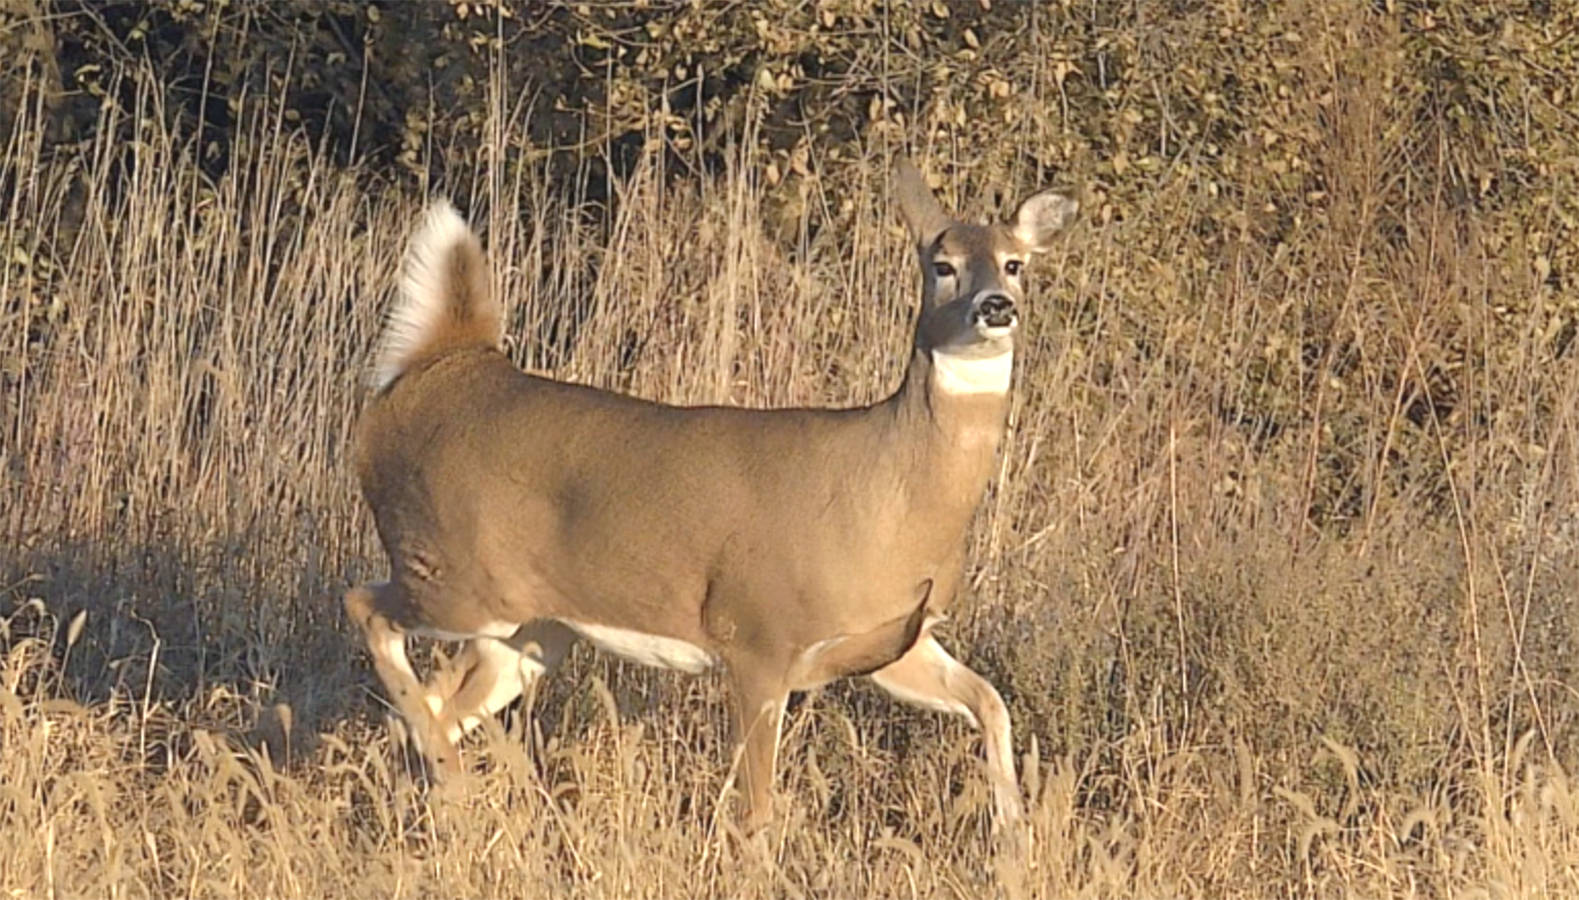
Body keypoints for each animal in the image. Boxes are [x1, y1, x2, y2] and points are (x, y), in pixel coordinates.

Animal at [343, 158, 1078, 837]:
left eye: (1015, 263)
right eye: (942, 264)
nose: (996, 306)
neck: (892, 500)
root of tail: (439, 369)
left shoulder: (892, 643)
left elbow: (990, 701)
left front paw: (1015, 837)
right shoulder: (756, 636)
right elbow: (755, 808)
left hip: (530, 629)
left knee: (438, 702)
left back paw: (438, 798)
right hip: (453, 573)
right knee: (365, 606)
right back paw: (449, 781)